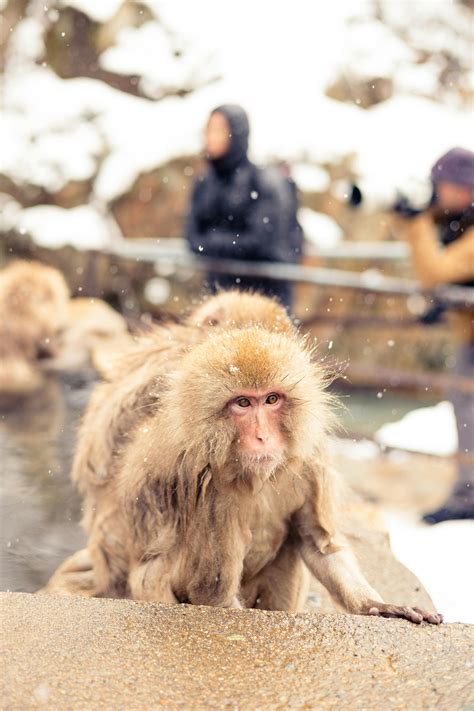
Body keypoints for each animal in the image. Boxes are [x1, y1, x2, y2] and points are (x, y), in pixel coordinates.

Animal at [45, 322, 442, 624]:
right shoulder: (208, 487)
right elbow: (214, 593)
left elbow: (317, 540)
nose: (263, 436)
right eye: (242, 403)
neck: (252, 475)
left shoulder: (310, 457)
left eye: (271, 399)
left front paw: (378, 606)